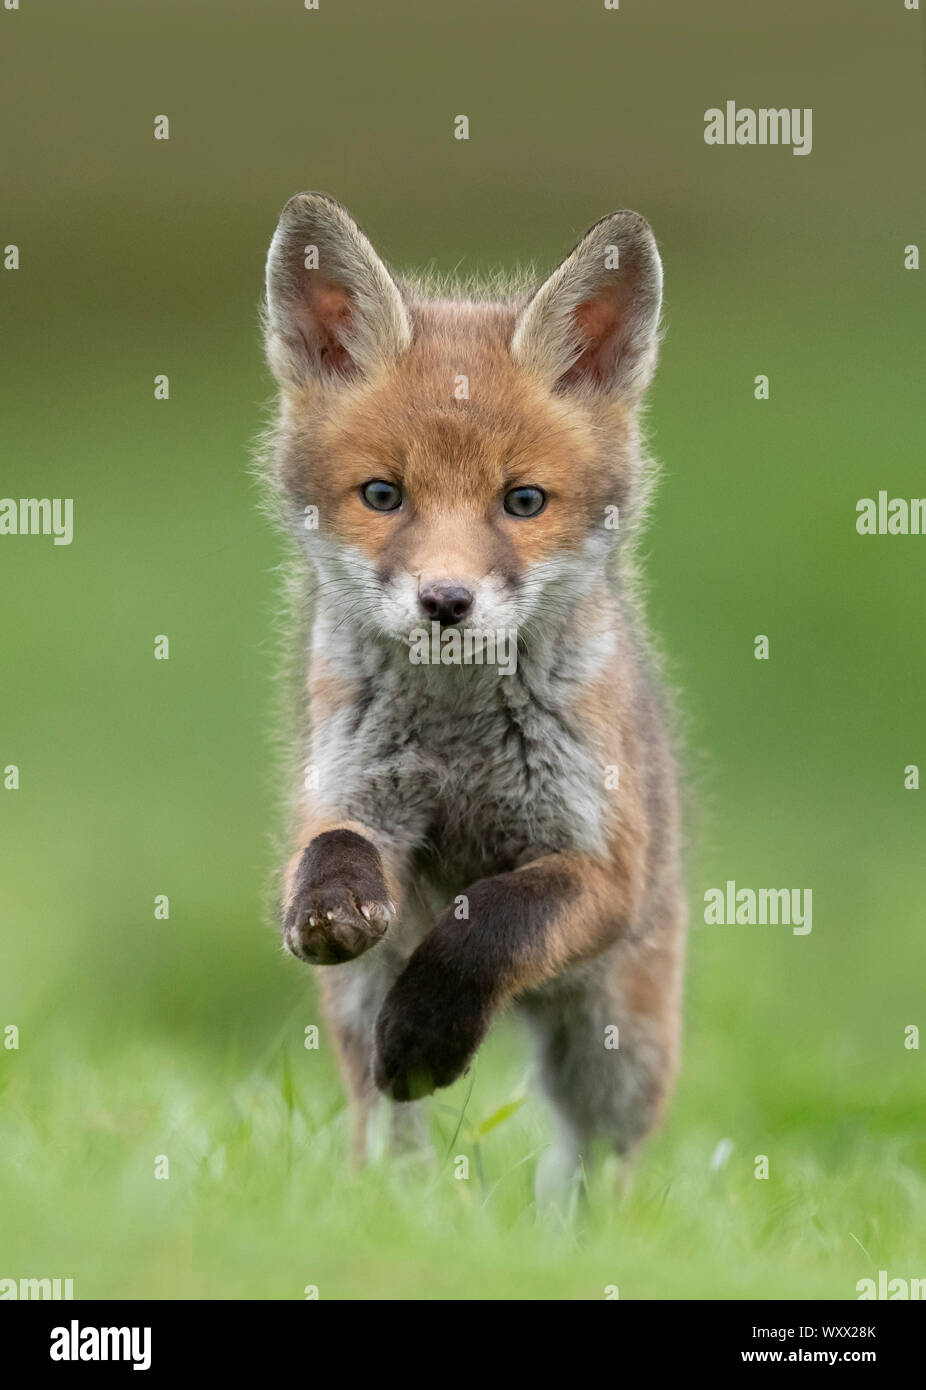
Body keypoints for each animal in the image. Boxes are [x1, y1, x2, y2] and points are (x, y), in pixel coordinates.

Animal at [260, 192, 687, 1193]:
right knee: (383, 1121)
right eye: (383, 495)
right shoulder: (348, 790)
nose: (446, 602)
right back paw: (392, 1203)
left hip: (618, 1041)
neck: (459, 743)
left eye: (522, 502)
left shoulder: (603, 867)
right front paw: (331, 901)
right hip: (356, 1003)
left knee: (600, 1154)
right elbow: (331, 847)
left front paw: (429, 1035)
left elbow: (487, 921)